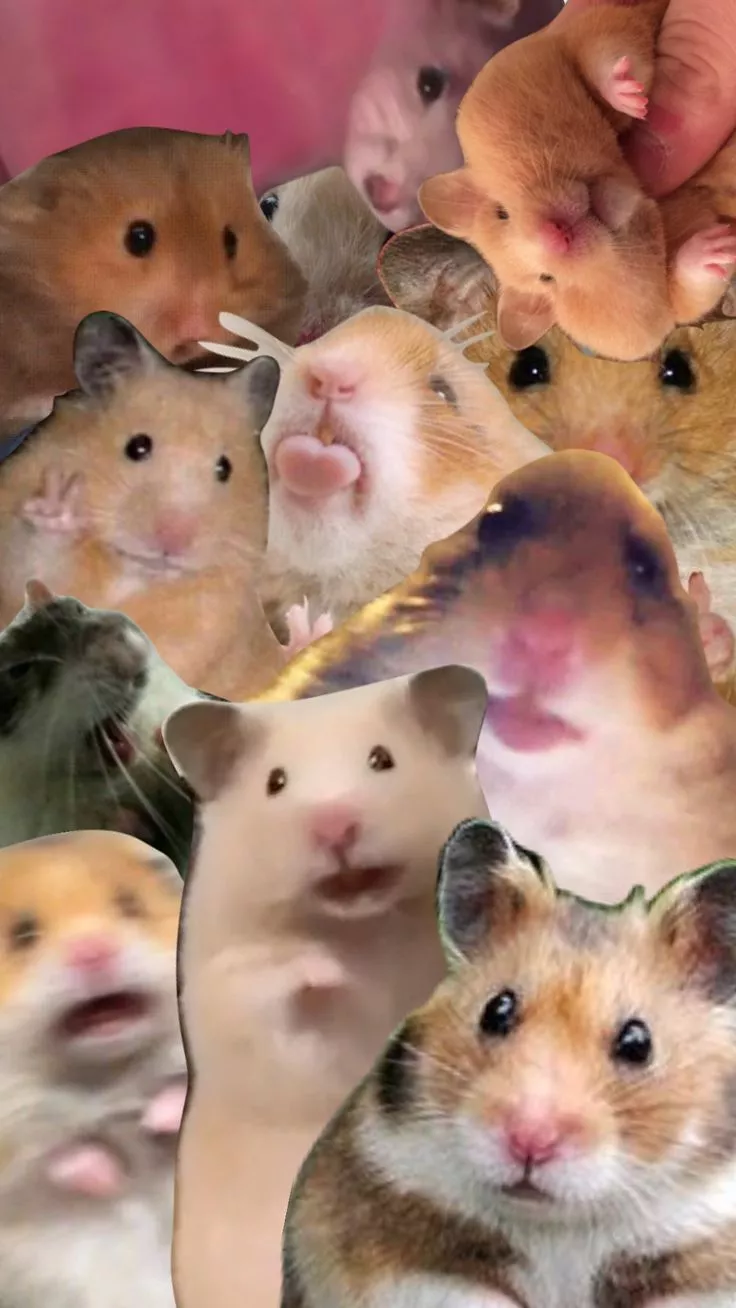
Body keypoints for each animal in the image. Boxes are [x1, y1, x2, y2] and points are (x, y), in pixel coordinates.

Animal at [0, 310, 317, 700]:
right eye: (137, 447)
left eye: (224, 468)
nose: (172, 543)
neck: (130, 575)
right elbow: (36, 564)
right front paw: (60, 502)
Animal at [0, 829, 185, 1308]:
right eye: (23, 934)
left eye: (130, 905)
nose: (95, 953)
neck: (107, 1073)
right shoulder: (14, 1136)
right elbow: (59, 1154)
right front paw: (110, 1179)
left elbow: (177, 1093)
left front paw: (154, 1121)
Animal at [160, 665, 490, 1308]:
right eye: (276, 782)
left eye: (382, 759)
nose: (336, 824)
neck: (359, 926)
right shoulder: (230, 1003)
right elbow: (280, 994)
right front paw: (317, 968)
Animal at [418, 0, 736, 362]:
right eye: (547, 279)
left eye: (501, 212)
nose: (558, 237)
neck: (631, 186)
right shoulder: (671, 304)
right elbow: (687, 292)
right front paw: (719, 246)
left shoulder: (567, 38)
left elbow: (606, 60)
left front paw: (630, 94)